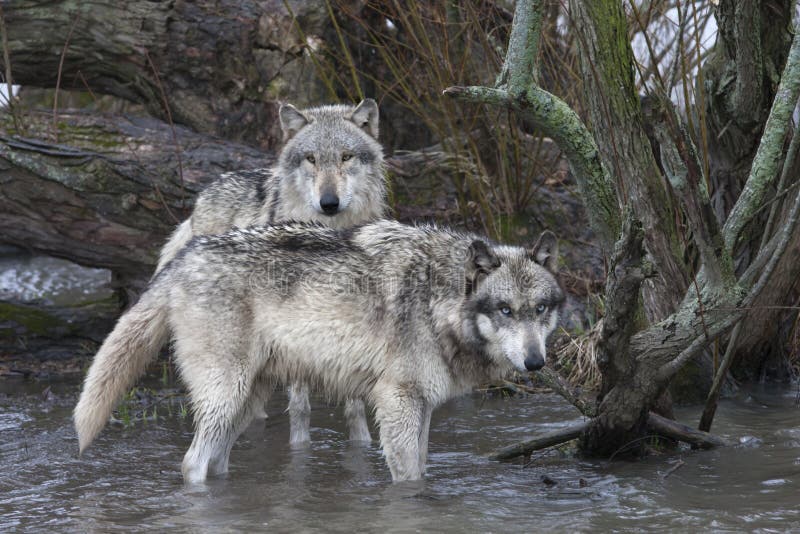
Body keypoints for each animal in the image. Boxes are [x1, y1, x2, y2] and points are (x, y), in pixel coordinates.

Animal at [74, 220, 564, 483]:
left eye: (540, 309)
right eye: (505, 310)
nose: (535, 361)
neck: (438, 299)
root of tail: (184, 258)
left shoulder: (420, 406)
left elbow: (422, 467)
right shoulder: (397, 402)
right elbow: (408, 479)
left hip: (245, 402)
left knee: (215, 462)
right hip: (225, 396)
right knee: (192, 463)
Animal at [156, 99, 385, 444]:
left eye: (346, 157)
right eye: (311, 159)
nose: (329, 202)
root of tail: (206, 191)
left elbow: (356, 407)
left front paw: (362, 446)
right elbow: (301, 408)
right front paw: (299, 448)